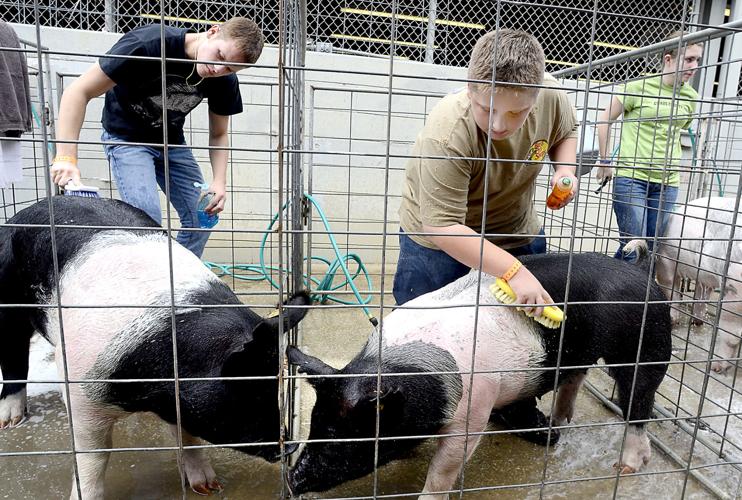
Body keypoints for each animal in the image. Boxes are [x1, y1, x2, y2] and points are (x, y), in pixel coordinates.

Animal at [0, 196, 309, 499]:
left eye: (274, 387)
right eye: (249, 391)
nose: (290, 445)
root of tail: (29, 208)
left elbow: (187, 435)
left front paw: (209, 487)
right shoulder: (81, 389)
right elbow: (93, 455)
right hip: (8, 297)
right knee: (13, 354)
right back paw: (10, 421)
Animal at [287, 252, 672, 498]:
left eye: (342, 435)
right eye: (314, 423)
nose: (292, 479)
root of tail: (642, 272)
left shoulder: (474, 413)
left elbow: (443, 472)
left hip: (648, 347)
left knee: (638, 402)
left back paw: (625, 467)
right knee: (575, 380)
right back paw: (557, 426)